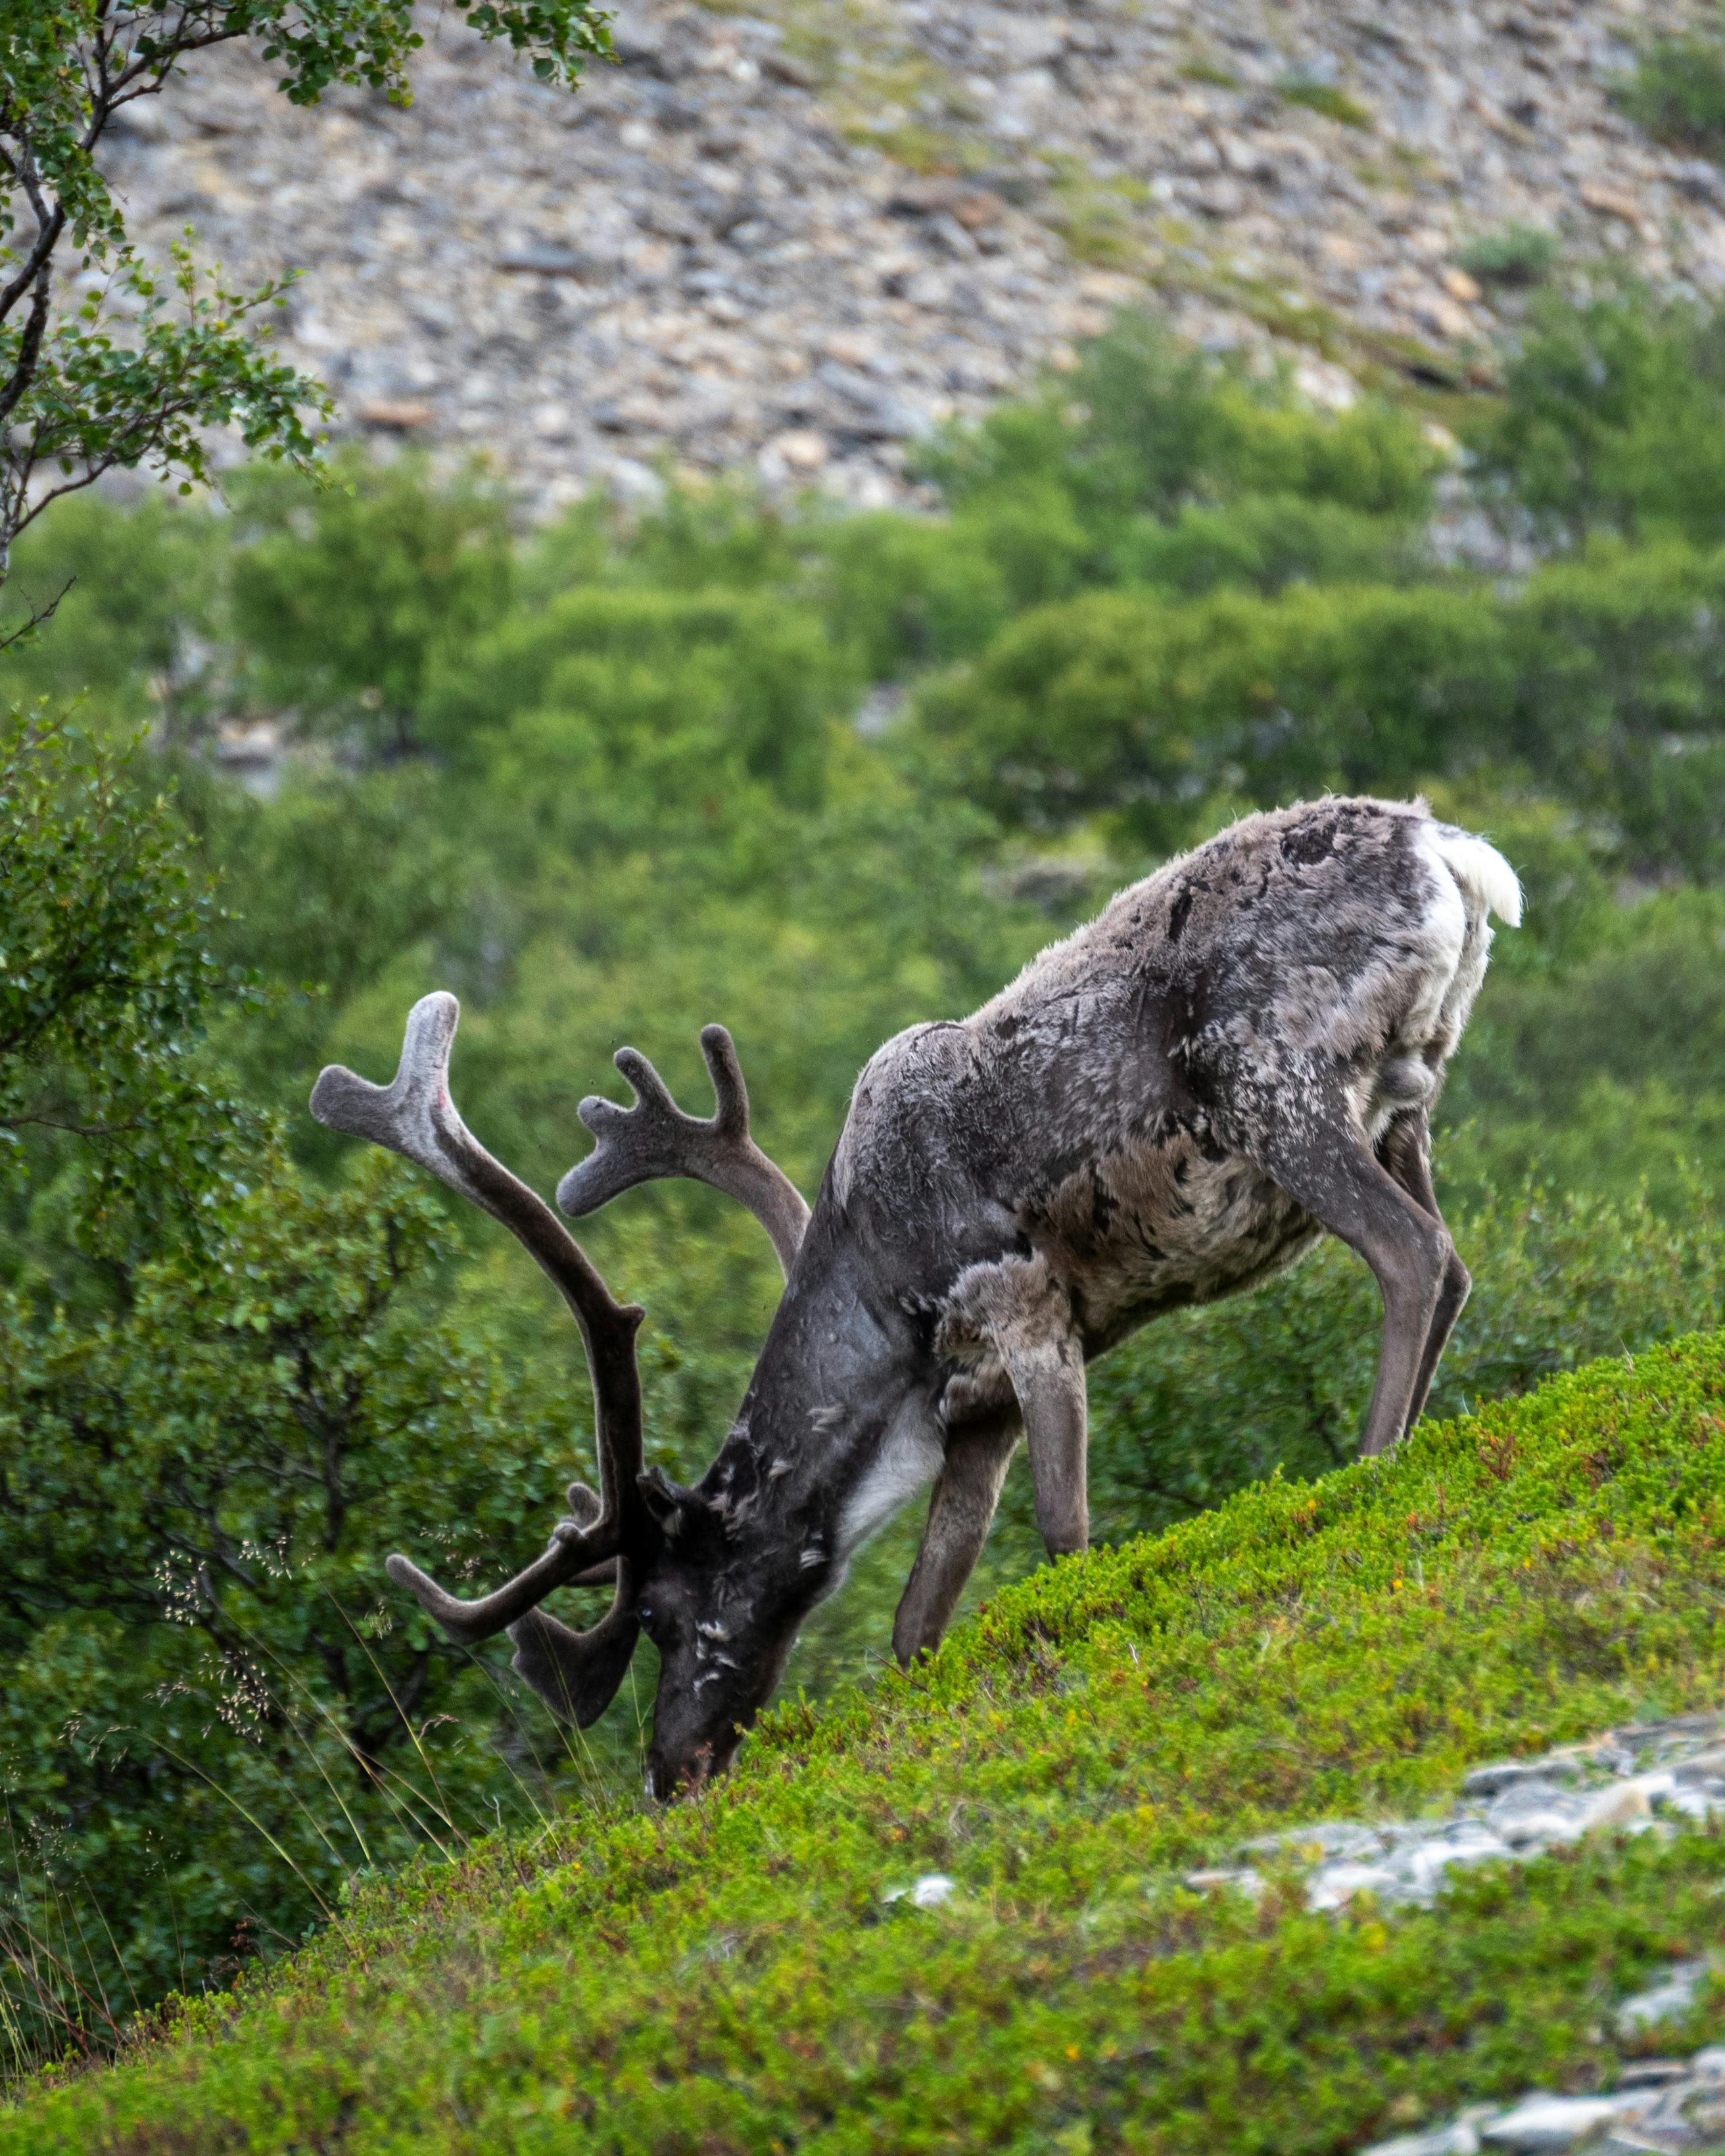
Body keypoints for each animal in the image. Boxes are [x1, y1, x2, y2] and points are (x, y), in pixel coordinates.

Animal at [310, 795, 1520, 1798]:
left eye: (658, 1609)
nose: (670, 1769)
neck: (884, 1321)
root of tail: (1451, 853)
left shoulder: (1024, 1306)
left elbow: (1063, 1530)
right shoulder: (970, 1411)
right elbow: (915, 1618)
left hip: (1281, 1089)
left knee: (1410, 1254)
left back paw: (1366, 1469)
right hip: (1404, 1097)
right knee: (1451, 1263)